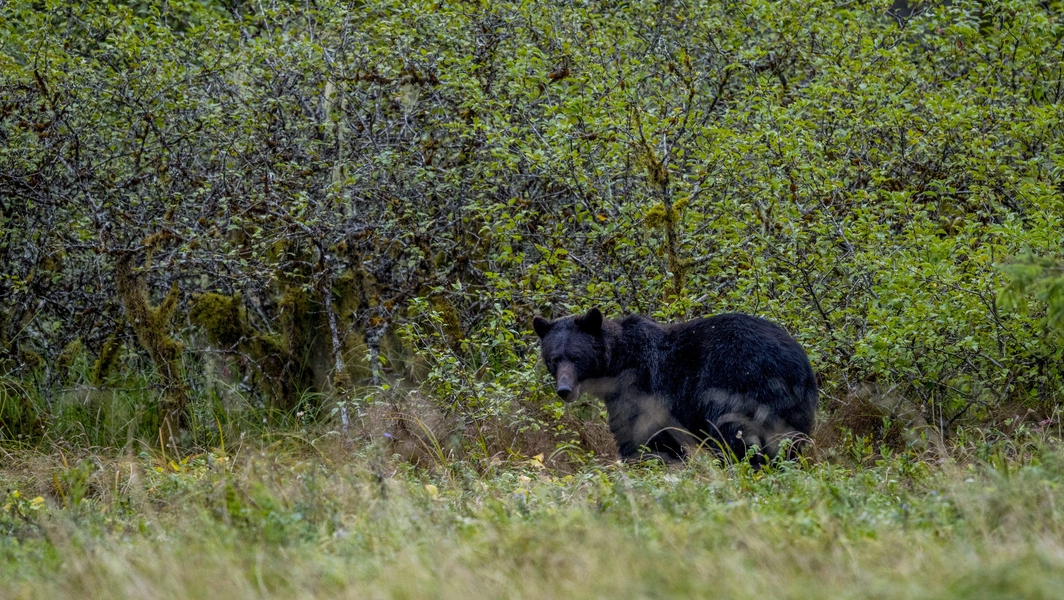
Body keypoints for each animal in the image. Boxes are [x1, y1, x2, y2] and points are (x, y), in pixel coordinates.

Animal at [532, 308, 817, 465]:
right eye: (554, 359)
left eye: (577, 357)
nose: (565, 390)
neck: (616, 365)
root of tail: (797, 360)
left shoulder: (641, 388)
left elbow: (643, 437)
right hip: (793, 406)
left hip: (738, 385)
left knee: (734, 436)